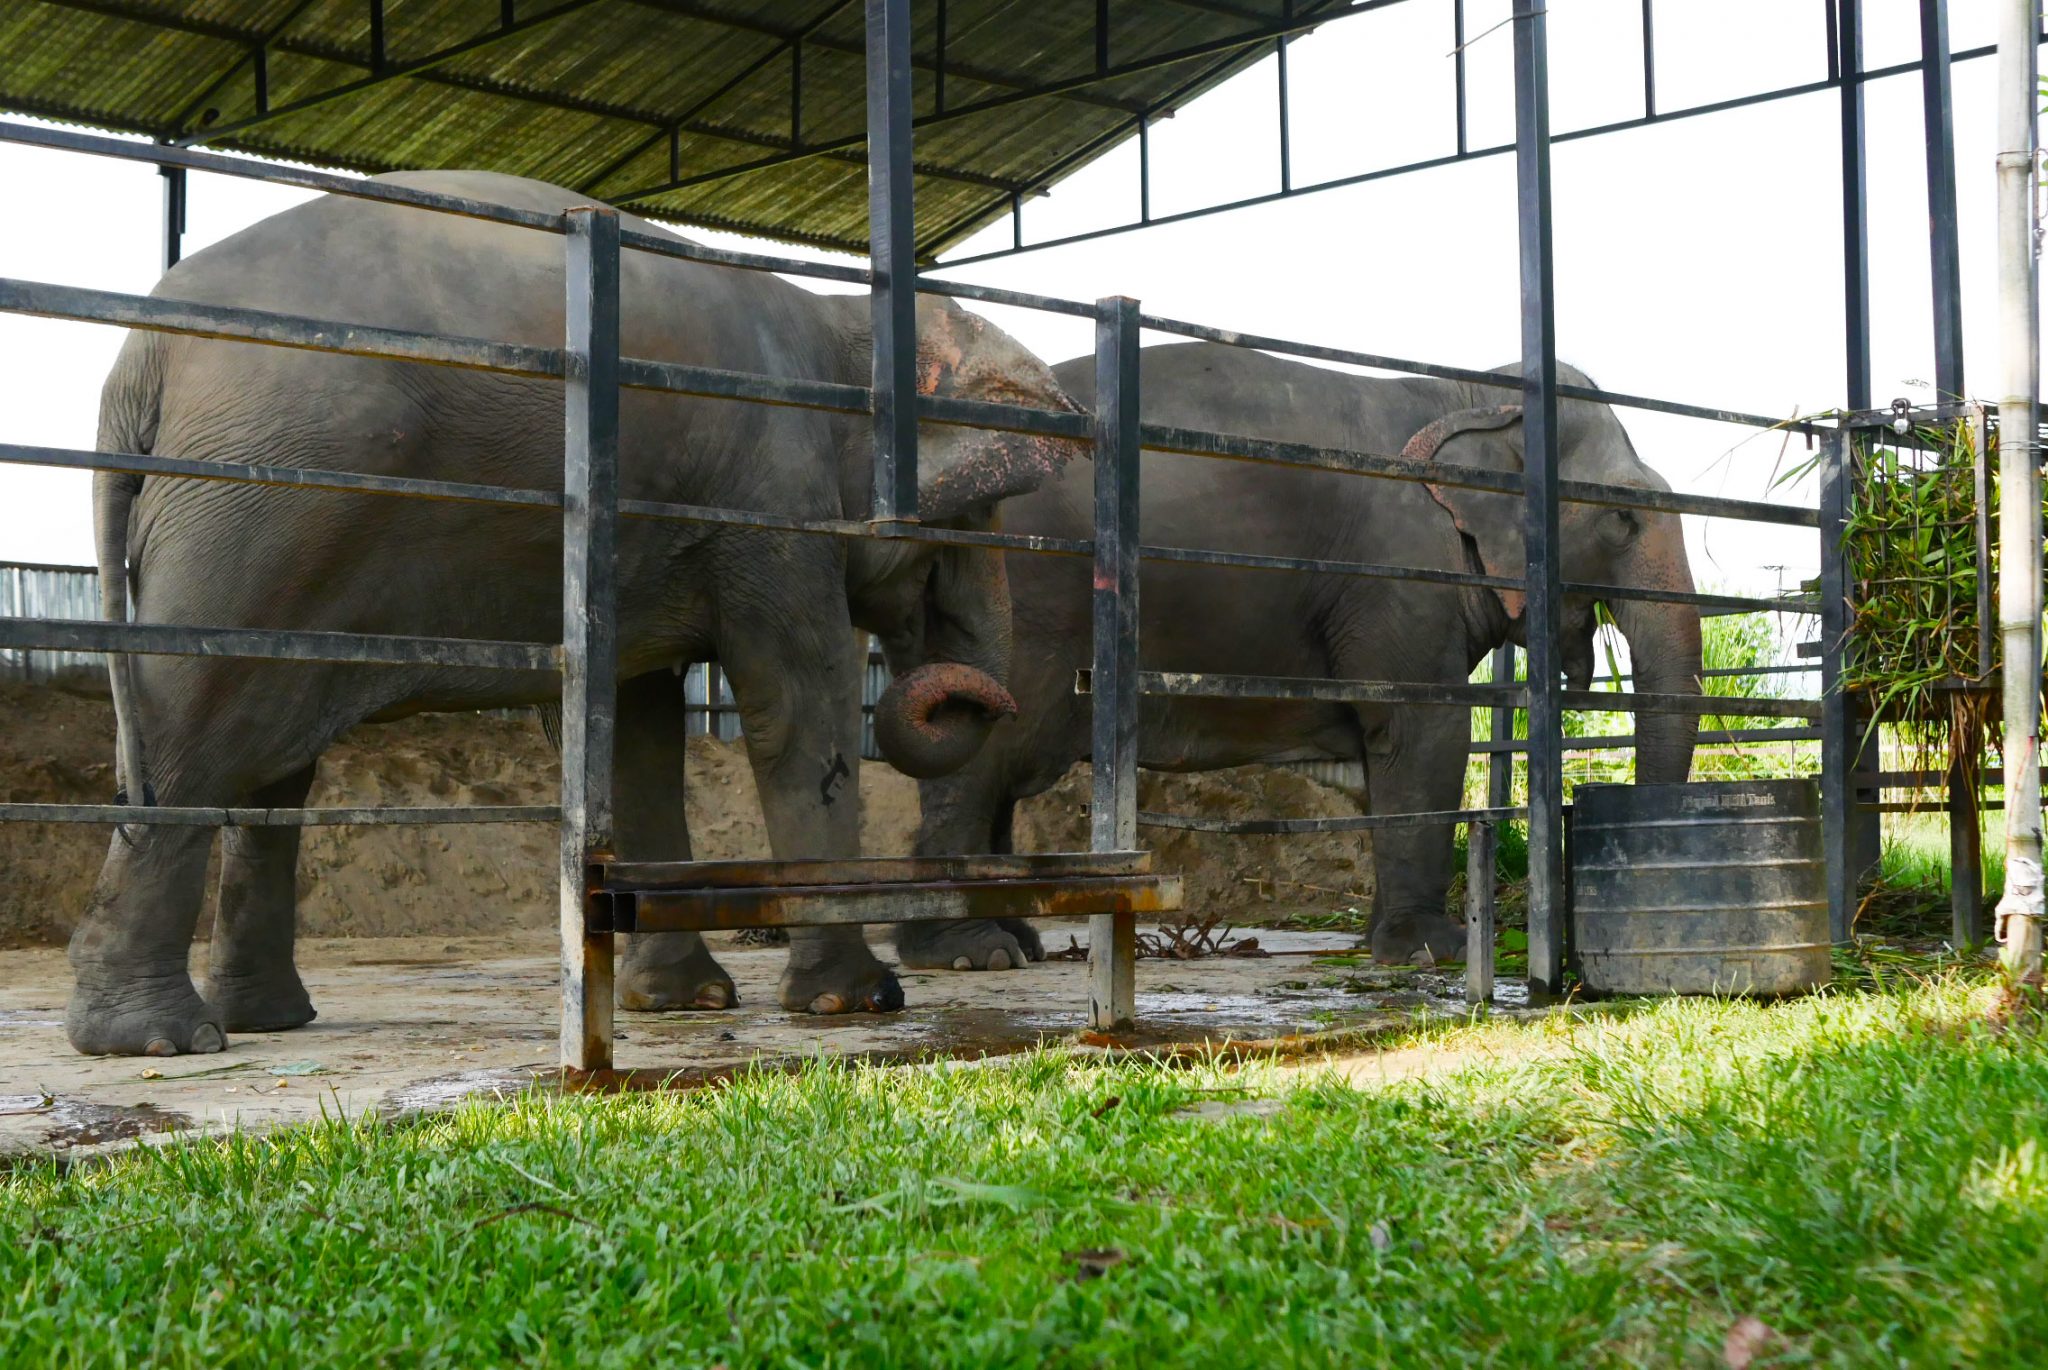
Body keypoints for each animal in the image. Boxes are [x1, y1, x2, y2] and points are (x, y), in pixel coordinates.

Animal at [71, 171, 1080, 1057]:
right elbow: (796, 698)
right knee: (198, 743)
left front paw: (682, 1002)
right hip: (257, 520)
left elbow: (637, 732)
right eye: (973, 516)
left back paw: (261, 1022)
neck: (842, 323)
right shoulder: (769, 501)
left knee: (263, 768)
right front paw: (854, 1001)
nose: (974, 689)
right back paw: (158, 1041)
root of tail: (138, 366)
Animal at [900, 341, 1702, 971]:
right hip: (1023, 594)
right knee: (987, 752)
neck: (1472, 397)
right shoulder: (1397, 571)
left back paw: (1018, 941)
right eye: (1622, 517)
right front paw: (1429, 951)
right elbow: (1422, 730)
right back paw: (970, 952)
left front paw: (1386, 943)